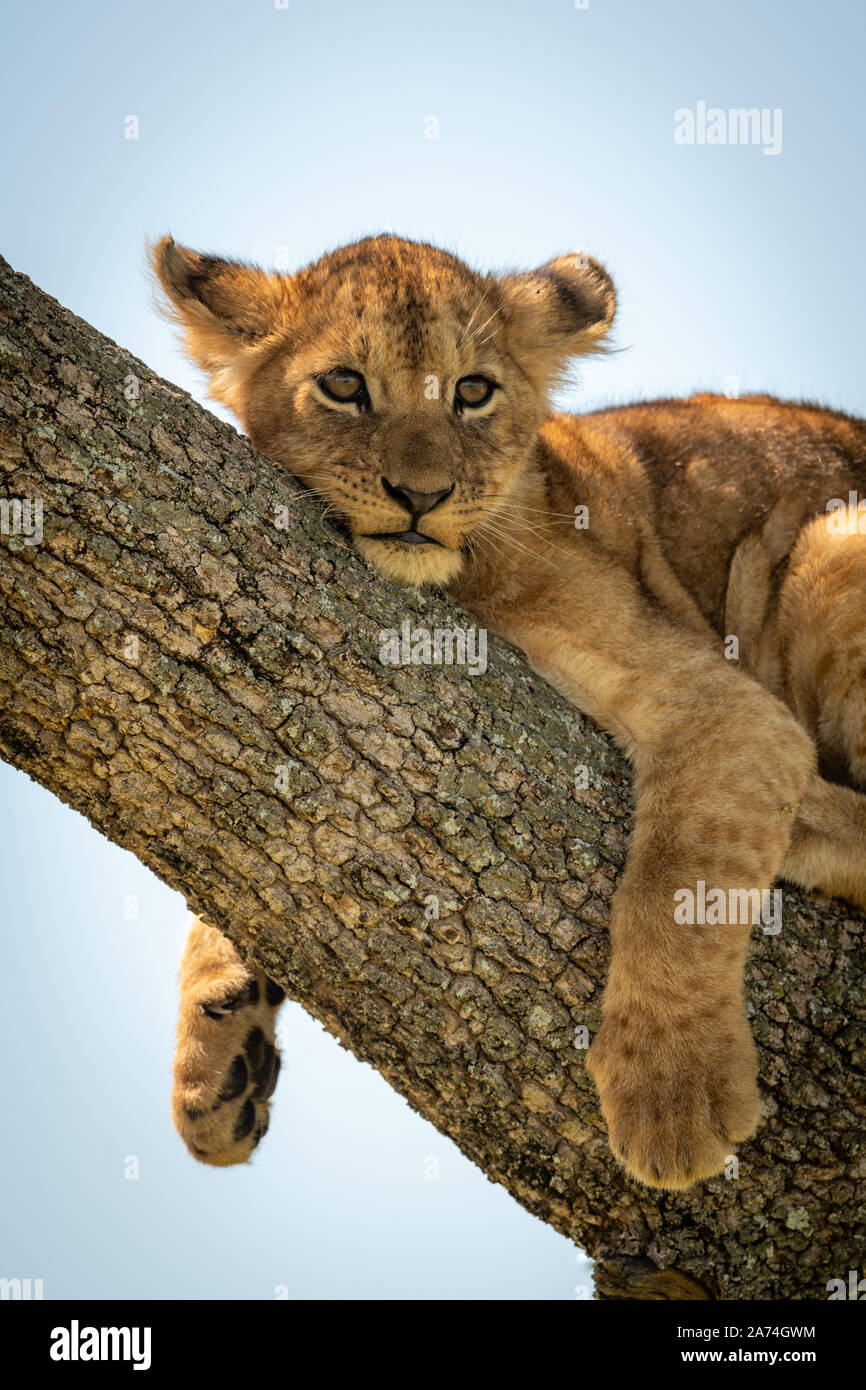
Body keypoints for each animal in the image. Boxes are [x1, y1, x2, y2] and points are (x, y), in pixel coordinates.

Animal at [151, 233, 866, 1188]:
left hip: (833, 542)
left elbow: (679, 881)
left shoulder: (730, 708)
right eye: (344, 384)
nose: (420, 494)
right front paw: (214, 1062)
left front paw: (673, 1090)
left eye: (472, 392)